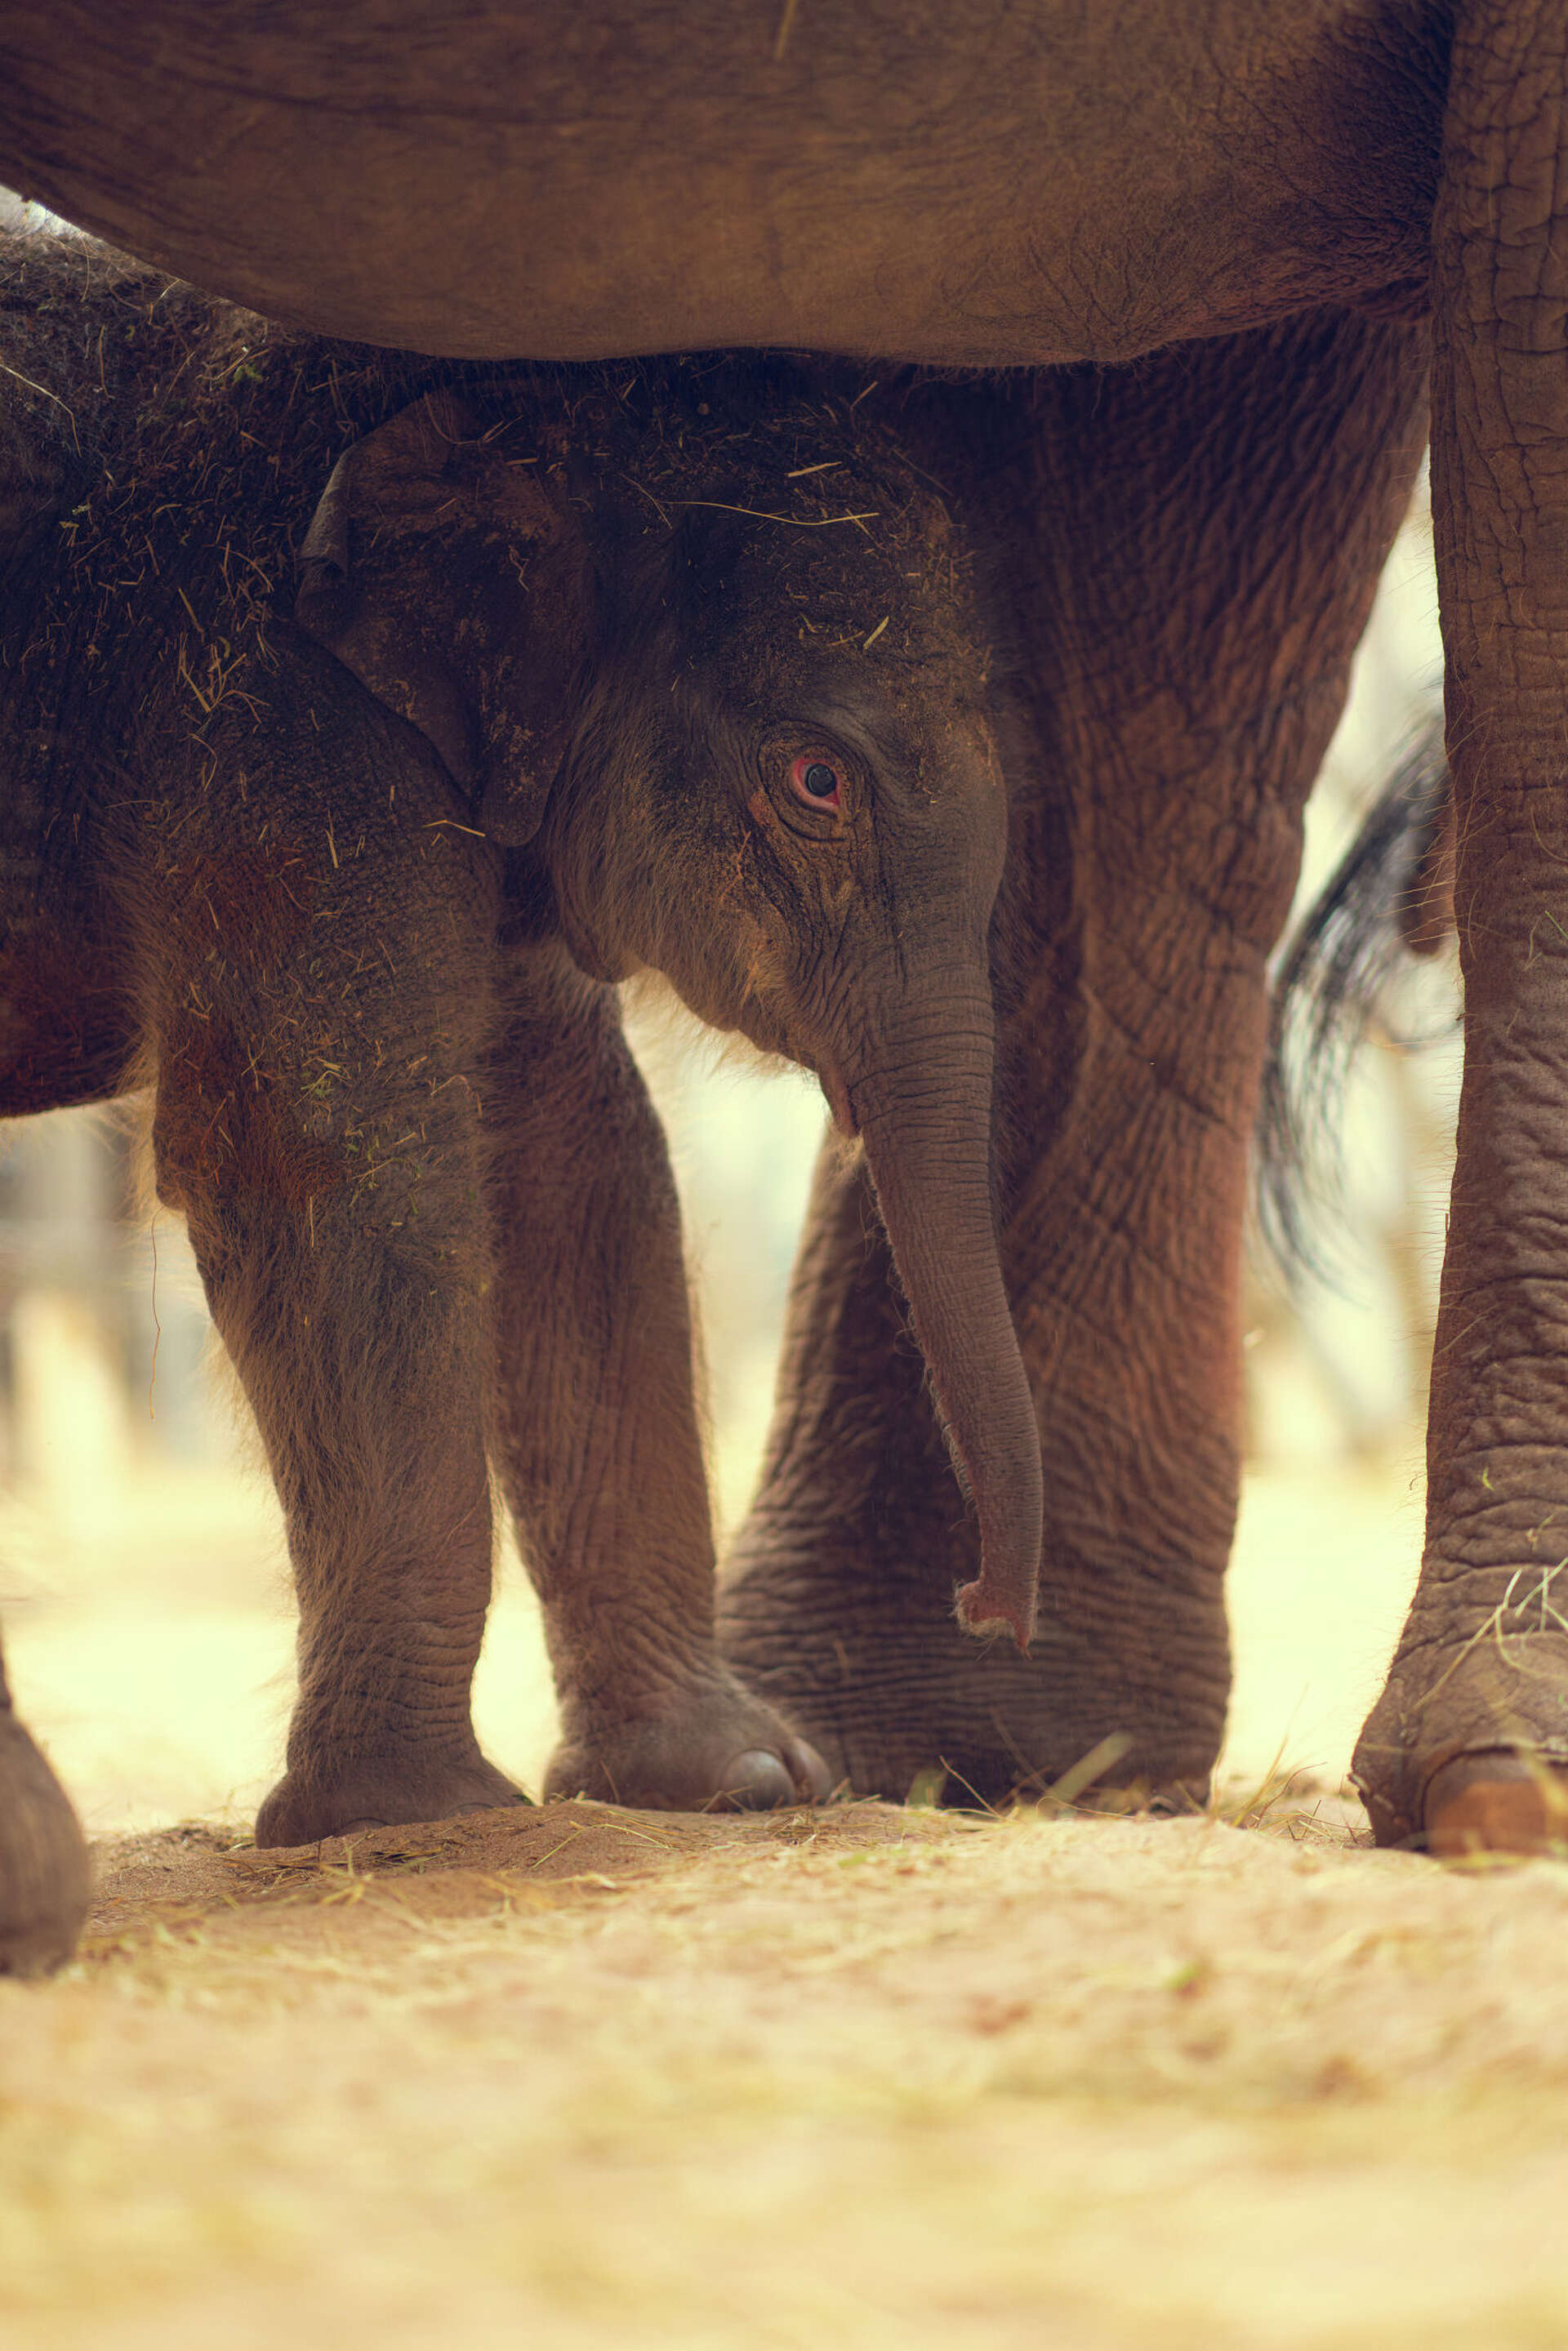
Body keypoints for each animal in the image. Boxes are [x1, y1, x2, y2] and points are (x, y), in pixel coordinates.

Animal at [0, 228, 1062, 1972]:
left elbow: (580, 1161)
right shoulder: (277, 734)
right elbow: (335, 1149)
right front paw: (412, 1813)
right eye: (817, 782)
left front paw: (736, 1783)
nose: (989, 1608)